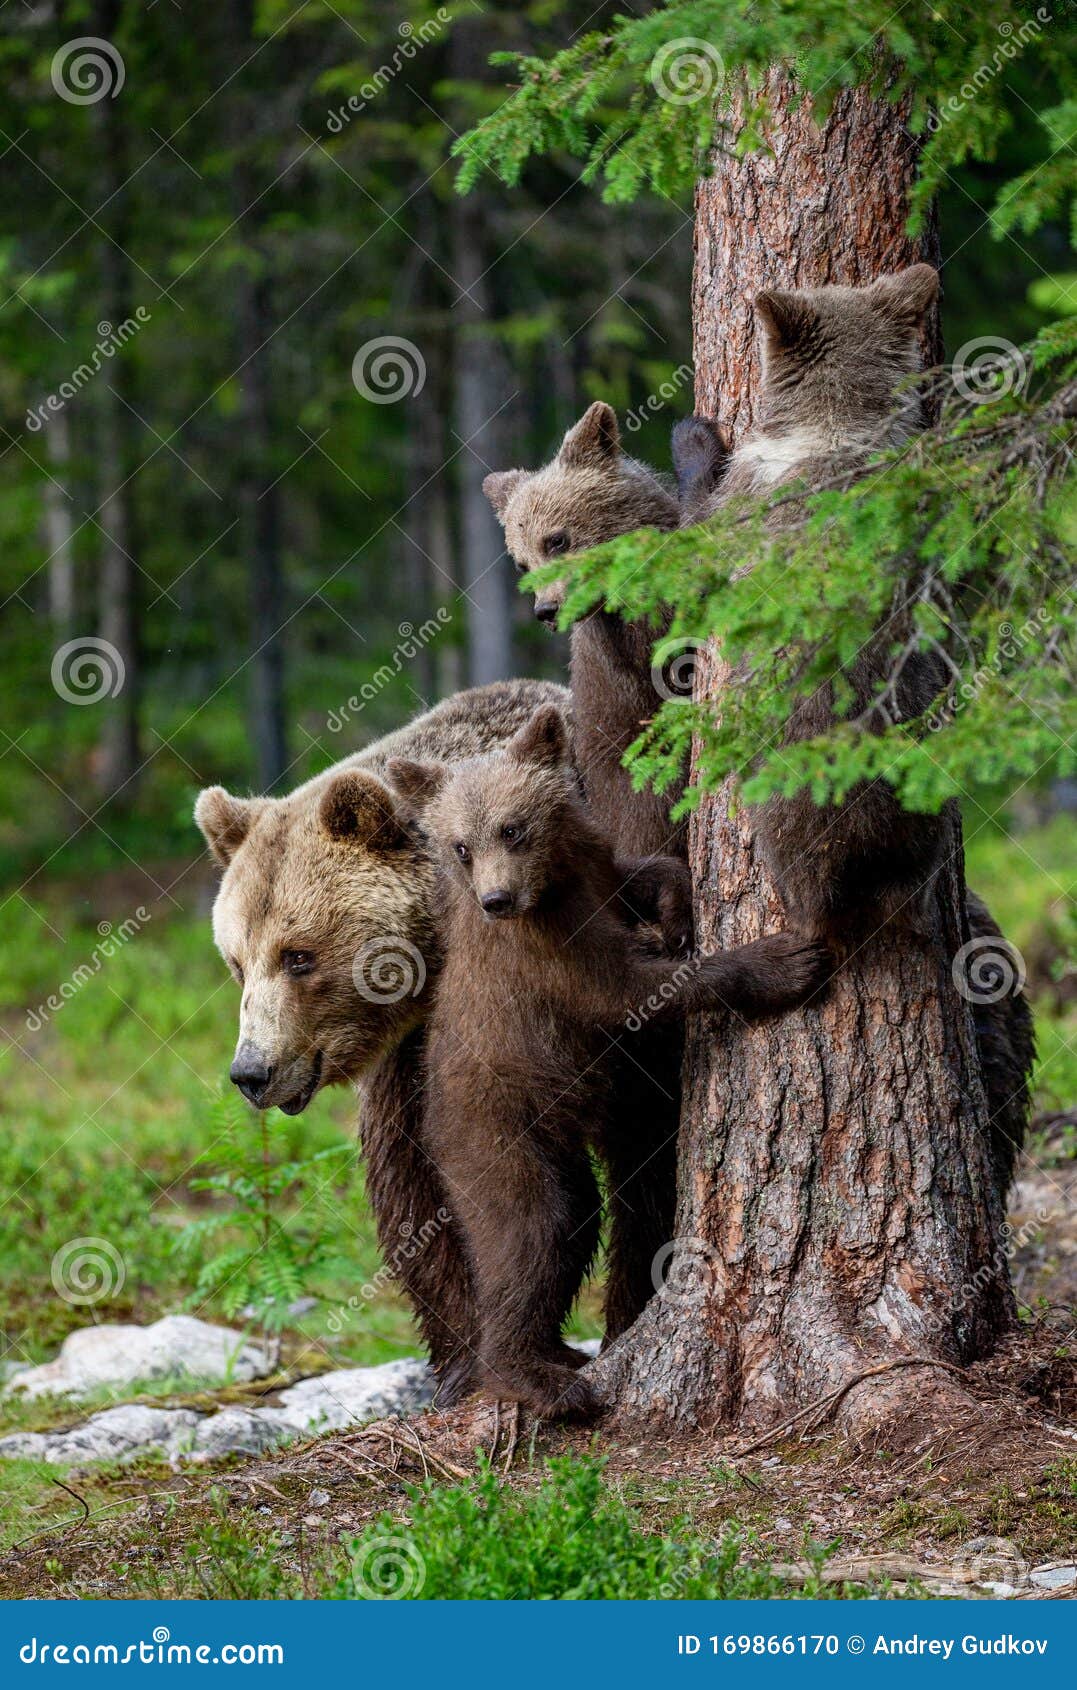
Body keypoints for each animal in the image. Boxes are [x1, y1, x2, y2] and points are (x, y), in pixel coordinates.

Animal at [195, 677, 573, 1403]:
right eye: (236, 962)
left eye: (298, 955)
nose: (251, 1072)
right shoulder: (409, 1051)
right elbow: (409, 1172)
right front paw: (461, 1361)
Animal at [386, 704, 829, 1417]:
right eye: (460, 845)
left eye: (513, 827)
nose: (496, 900)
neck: (551, 887)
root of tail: (436, 1131)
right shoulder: (552, 958)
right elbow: (632, 992)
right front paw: (783, 961)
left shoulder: (592, 873)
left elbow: (641, 872)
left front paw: (675, 911)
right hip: (494, 1131)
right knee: (529, 1234)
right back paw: (544, 1380)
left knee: (576, 1225)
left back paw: (561, 1351)